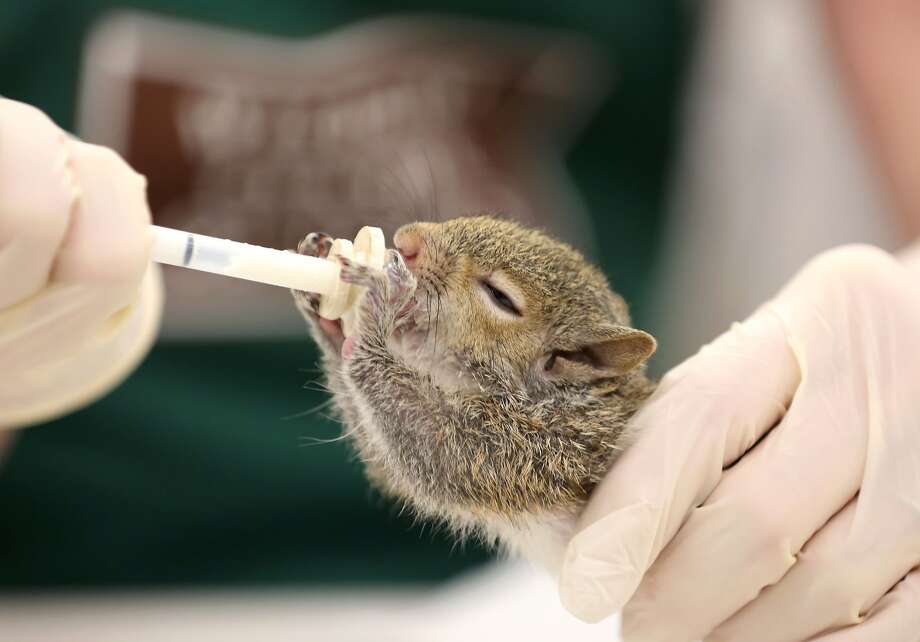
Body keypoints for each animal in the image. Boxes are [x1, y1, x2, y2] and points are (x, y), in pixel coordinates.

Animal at [292, 216, 656, 572]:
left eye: (501, 297)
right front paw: (320, 299)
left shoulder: (541, 451)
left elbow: (436, 449)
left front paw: (383, 301)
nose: (407, 240)